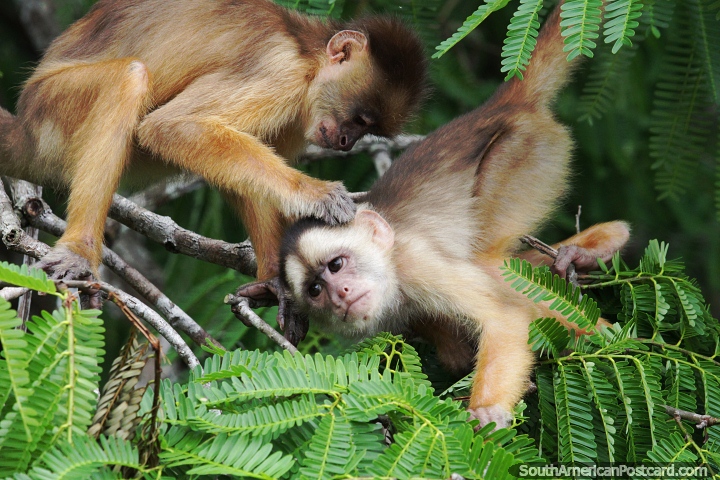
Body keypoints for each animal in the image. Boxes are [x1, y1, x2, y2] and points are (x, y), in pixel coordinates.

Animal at [0, 0, 427, 283]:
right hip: (50, 107)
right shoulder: (281, 72)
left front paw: (275, 280)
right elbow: (171, 127)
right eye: (360, 119)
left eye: (364, 129)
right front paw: (317, 195)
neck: (304, 49)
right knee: (129, 78)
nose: (345, 141)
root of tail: (23, 127)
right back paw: (78, 250)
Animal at [246, 2, 631, 430]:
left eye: (336, 265)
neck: (393, 266)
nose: (339, 293)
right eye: (315, 290)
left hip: (527, 152)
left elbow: (504, 316)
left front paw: (486, 409)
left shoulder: (418, 262)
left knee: (494, 262)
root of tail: (502, 106)